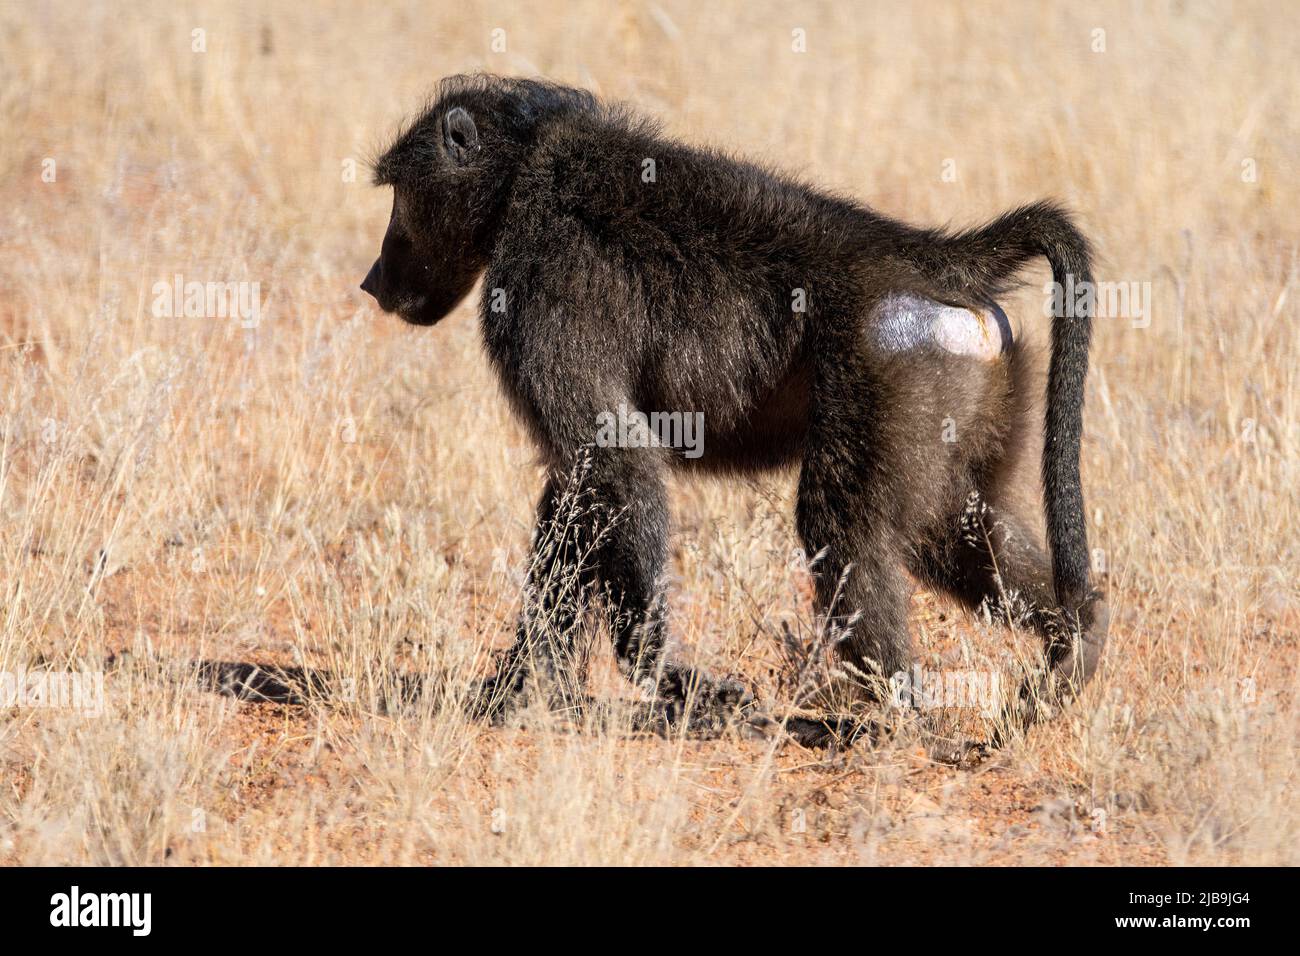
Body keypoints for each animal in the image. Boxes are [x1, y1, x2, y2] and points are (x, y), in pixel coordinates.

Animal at [361, 74, 1109, 739]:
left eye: (399, 193)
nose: (372, 279)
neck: (524, 171)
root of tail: (928, 256)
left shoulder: (538, 283)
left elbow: (614, 461)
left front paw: (660, 672)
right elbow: (577, 489)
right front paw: (523, 689)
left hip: (888, 366)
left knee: (841, 524)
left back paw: (904, 720)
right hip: (961, 384)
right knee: (956, 523)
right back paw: (1074, 644)